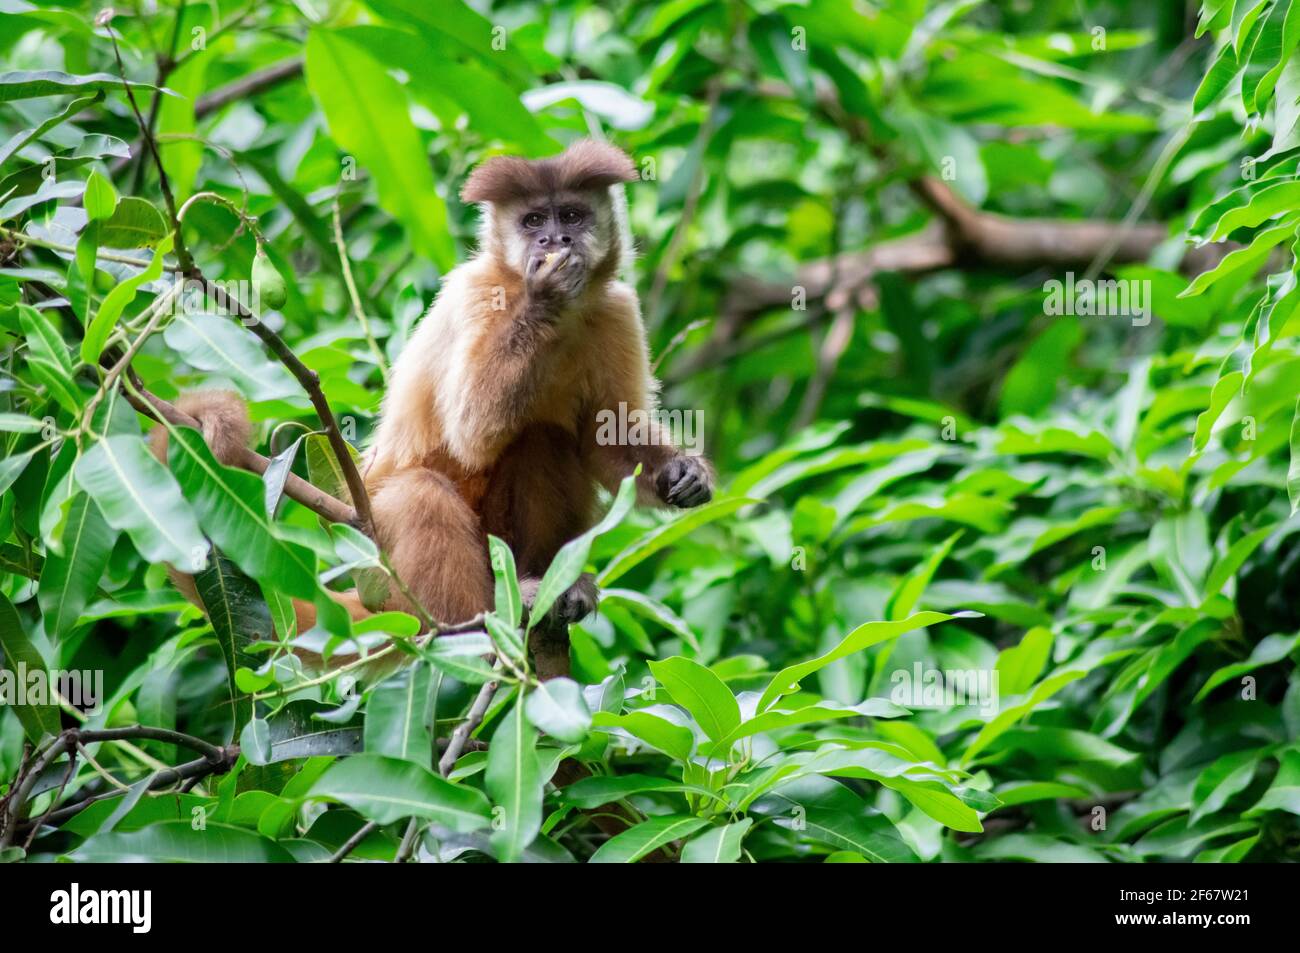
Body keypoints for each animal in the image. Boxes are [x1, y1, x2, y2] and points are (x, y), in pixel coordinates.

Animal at [156, 140, 714, 664]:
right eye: (534, 220)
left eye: (572, 216)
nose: (554, 241)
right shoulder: (479, 292)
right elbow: (471, 429)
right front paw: (546, 295)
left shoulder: (616, 308)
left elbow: (605, 439)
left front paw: (681, 474)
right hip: (382, 564)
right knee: (422, 492)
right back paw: (474, 626)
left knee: (547, 440)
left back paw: (546, 590)